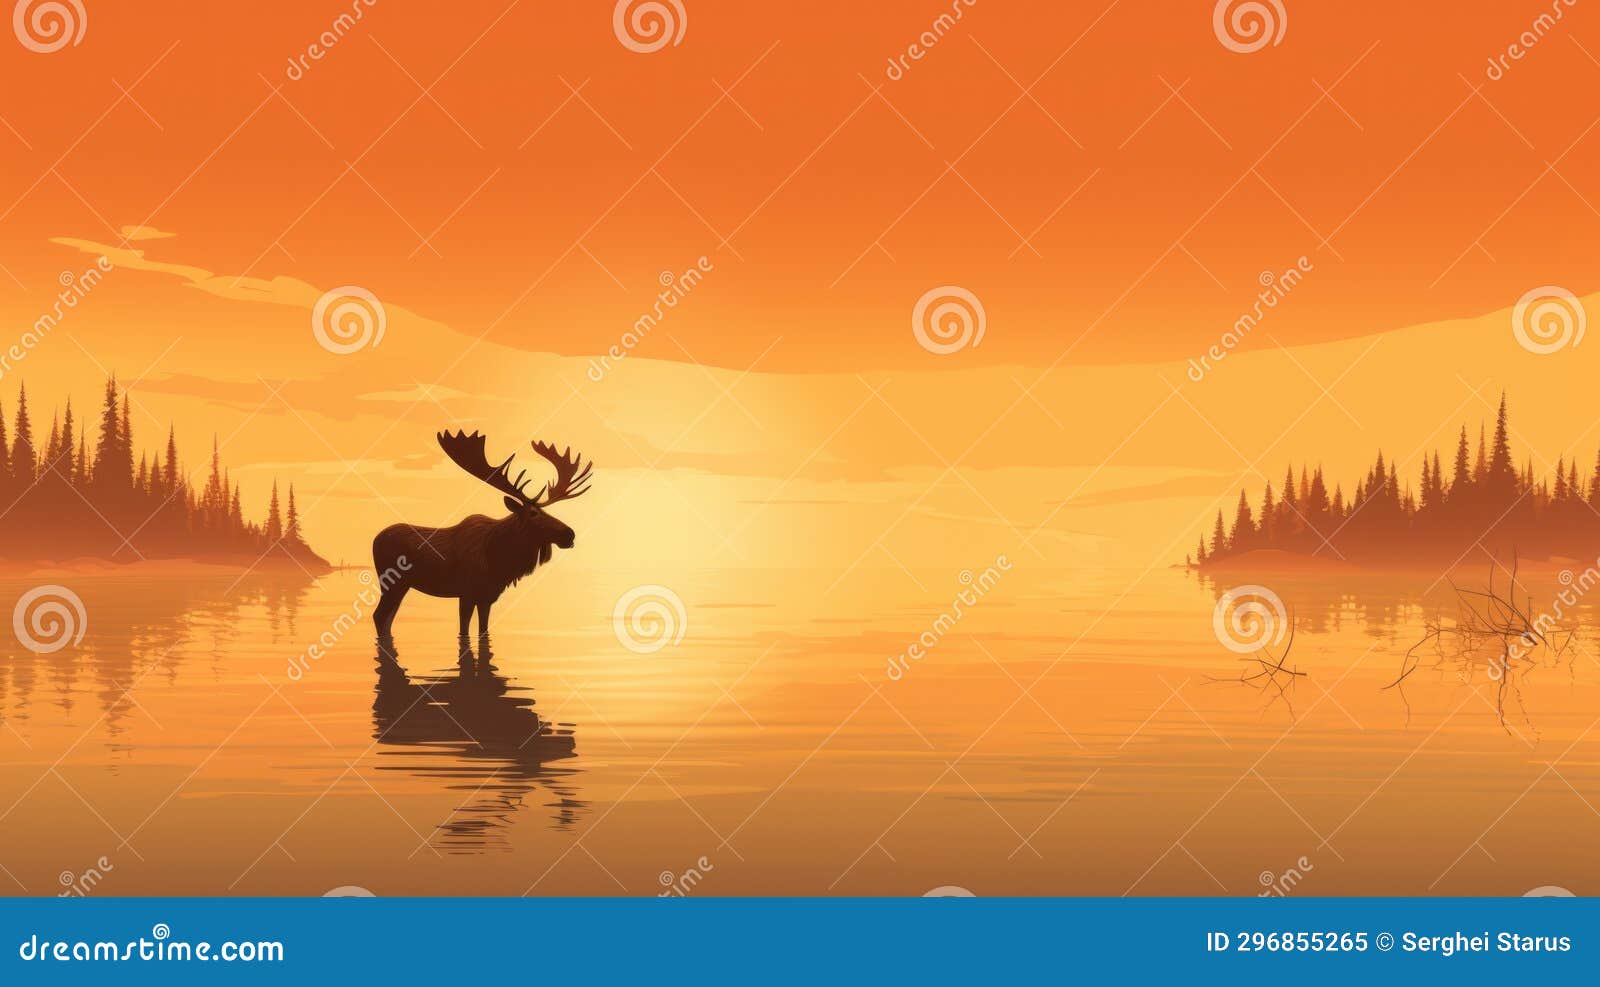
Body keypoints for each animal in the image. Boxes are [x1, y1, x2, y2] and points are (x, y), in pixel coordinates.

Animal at [372, 431, 592, 639]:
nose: (569, 534)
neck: (499, 560)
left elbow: (483, 631)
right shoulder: (467, 593)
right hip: (392, 583)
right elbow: (464, 631)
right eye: (532, 513)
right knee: (379, 615)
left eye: (546, 511)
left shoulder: (488, 596)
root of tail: (374, 540)